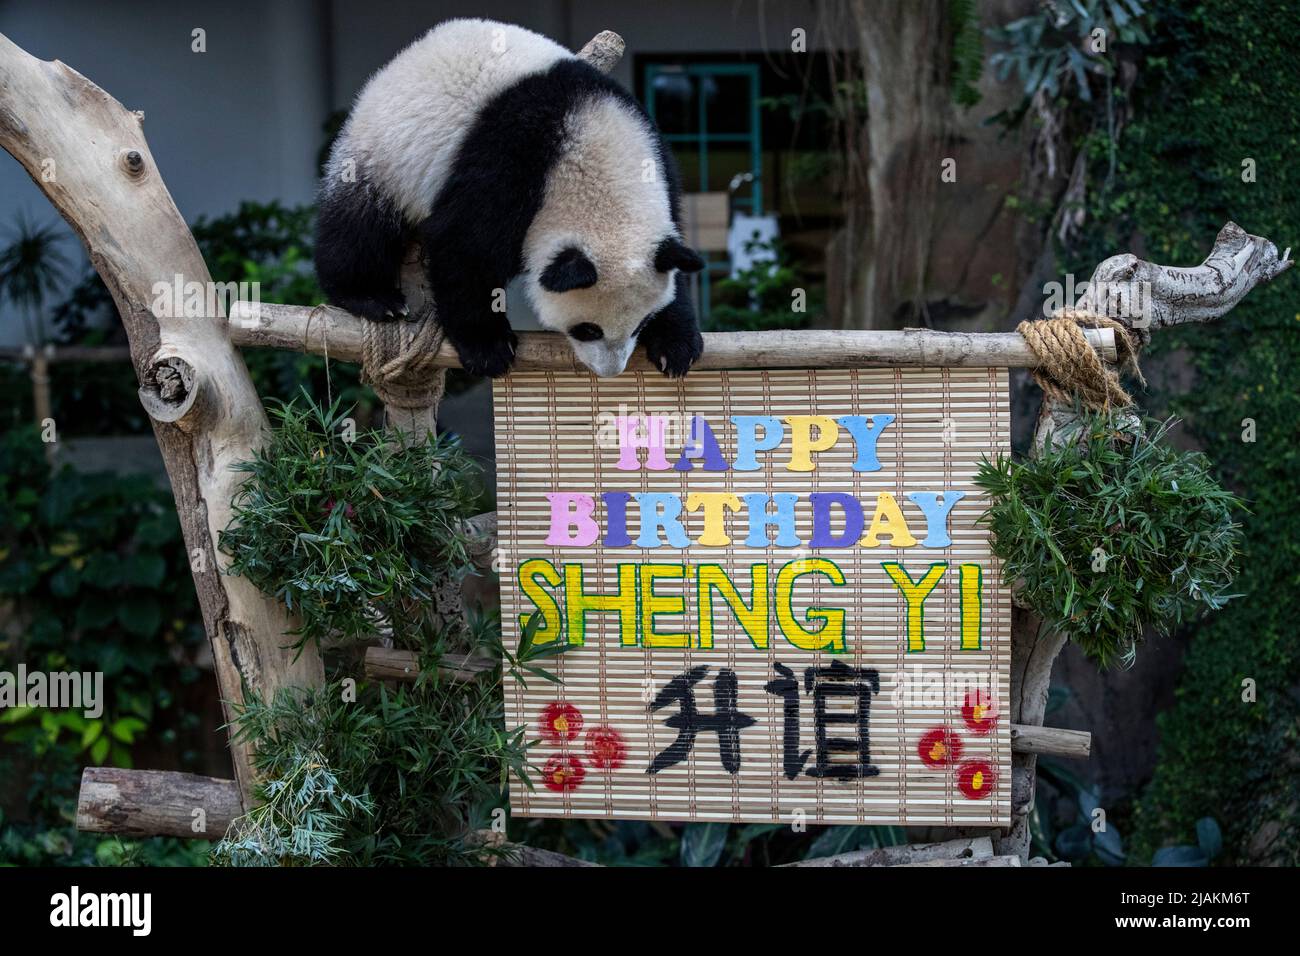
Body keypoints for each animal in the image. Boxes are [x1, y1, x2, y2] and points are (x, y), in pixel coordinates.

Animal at [315, 18, 706, 379]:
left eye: (641, 323)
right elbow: (464, 245)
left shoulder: (657, 161)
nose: (610, 371)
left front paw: (677, 344)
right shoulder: (511, 161)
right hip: (385, 151)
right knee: (359, 222)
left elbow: (675, 254)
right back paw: (371, 297)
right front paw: (488, 348)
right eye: (588, 329)